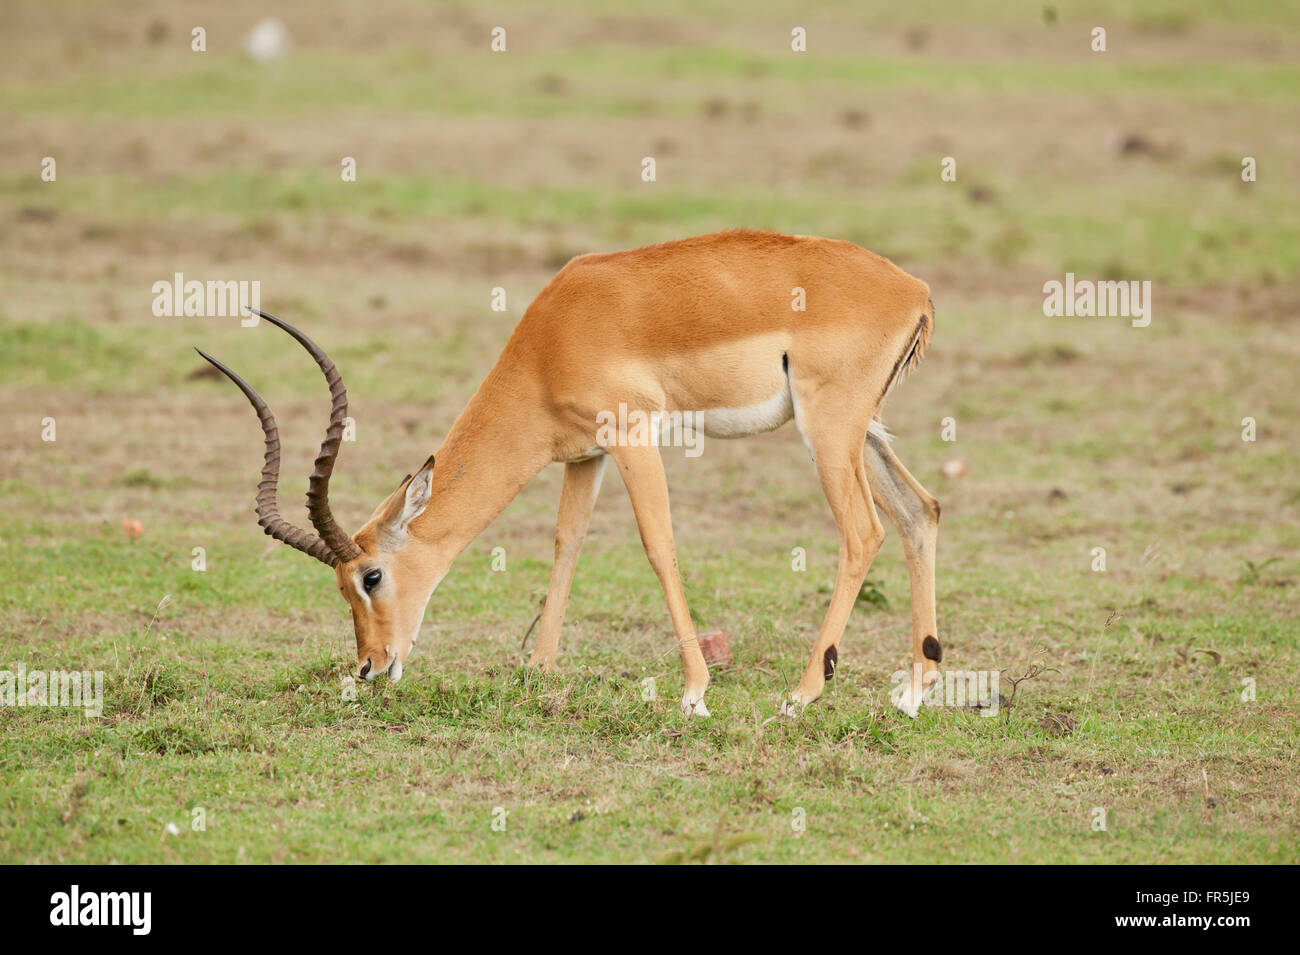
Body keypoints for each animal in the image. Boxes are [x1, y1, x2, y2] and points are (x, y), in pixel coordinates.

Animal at [198, 229, 942, 718]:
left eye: (370, 577)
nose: (371, 665)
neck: (552, 337)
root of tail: (915, 288)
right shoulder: (586, 456)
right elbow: (567, 544)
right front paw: (537, 671)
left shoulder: (634, 437)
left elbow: (658, 546)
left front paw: (694, 692)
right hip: (863, 434)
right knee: (920, 511)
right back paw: (914, 689)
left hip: (829, 430)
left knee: (863, 532)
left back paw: (803, 691)